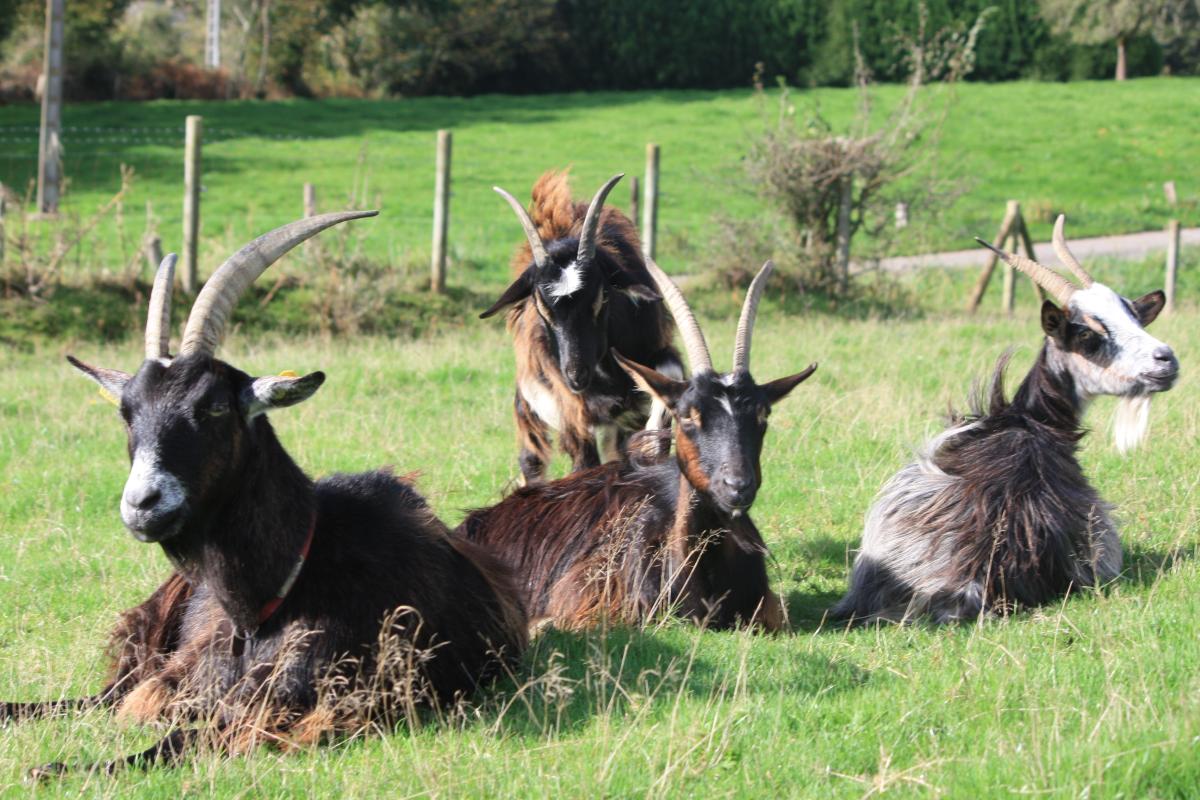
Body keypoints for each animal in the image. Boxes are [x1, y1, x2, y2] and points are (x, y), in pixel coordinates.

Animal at [3, 213, 527, 776]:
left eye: (213, 406)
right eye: (127, 411)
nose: (142, 505)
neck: (277, 591)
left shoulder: (310, 707)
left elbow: (177, 740)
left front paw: (53, 769)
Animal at [482, 170, 683, 483]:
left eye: (602, 297)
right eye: (540, 306)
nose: (576, 376)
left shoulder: (656, 357)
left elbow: (668, 378)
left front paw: (652, 445)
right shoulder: (572, 407)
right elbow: (584, 461)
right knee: (535, 460)